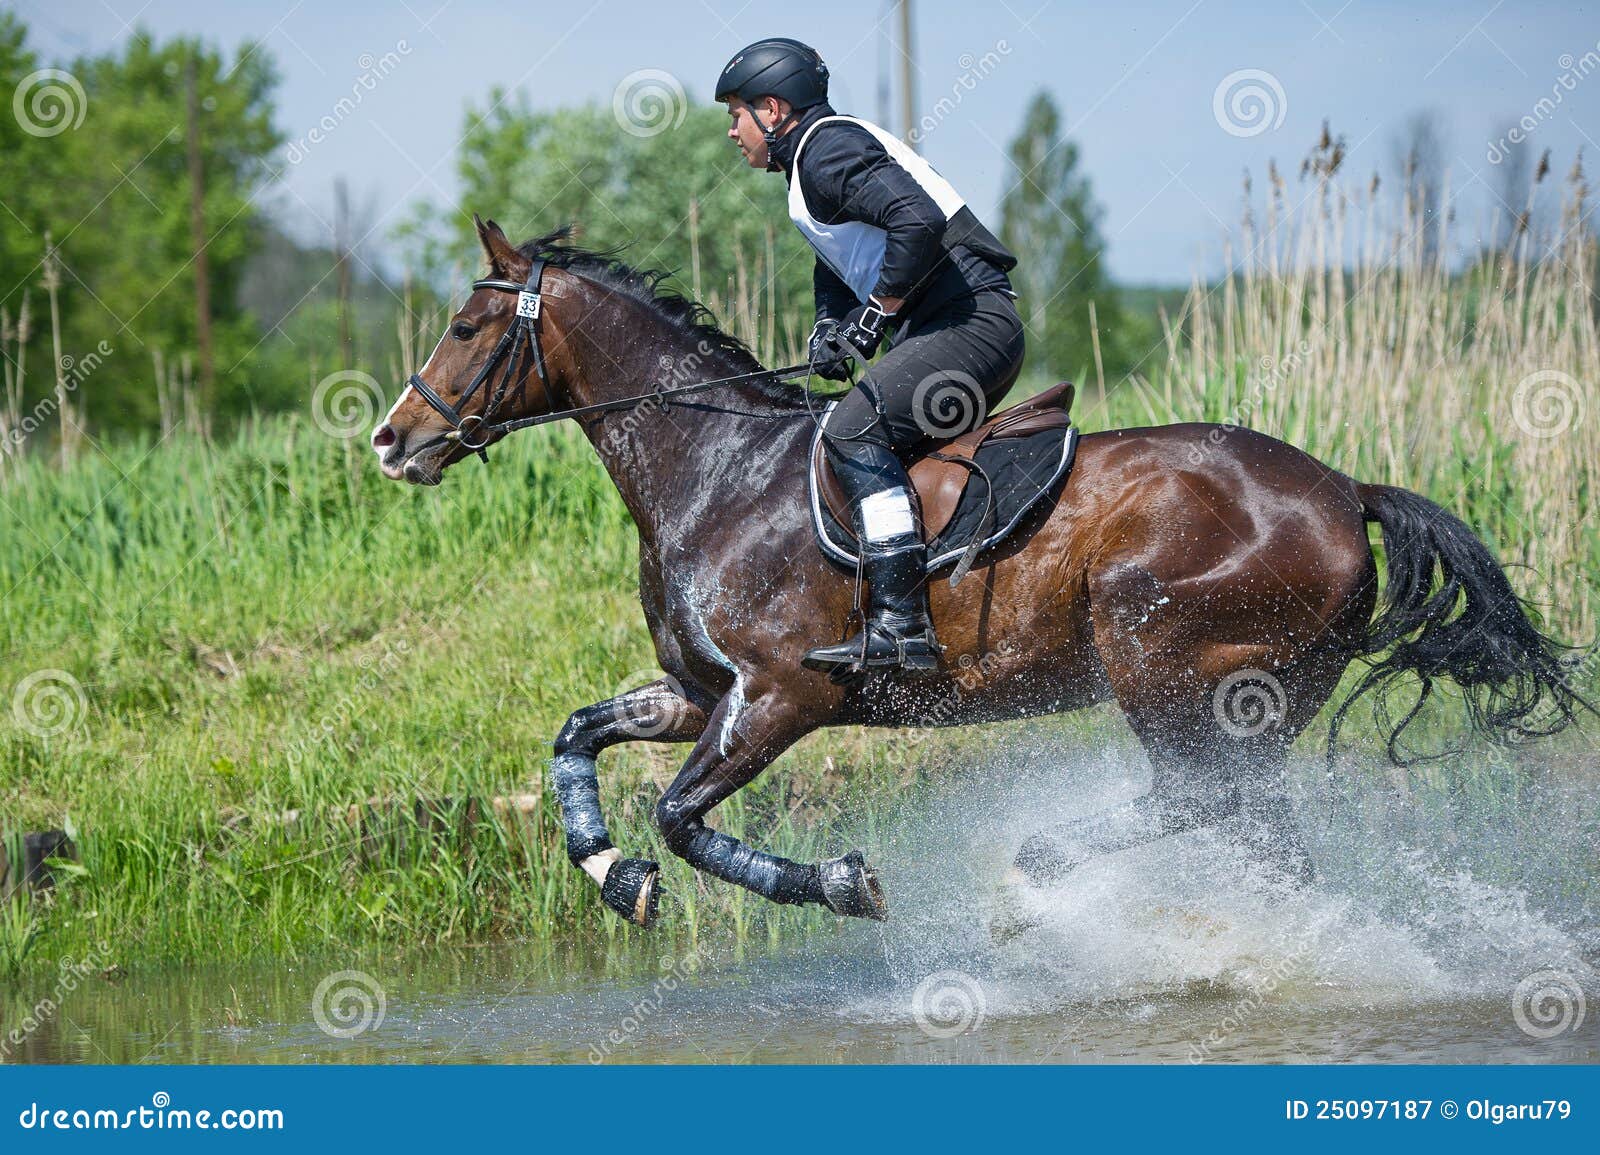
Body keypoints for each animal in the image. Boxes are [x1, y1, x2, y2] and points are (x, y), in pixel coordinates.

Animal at [371, 217, 1590, 928]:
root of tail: (1342, 490)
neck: (716, 470)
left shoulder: (778, 696)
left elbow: (678, 814)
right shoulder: (698, 692)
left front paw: (842, 885)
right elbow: (577, 737)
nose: (390, 441)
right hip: (1261, 696)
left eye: (468, 324)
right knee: (1253, 828)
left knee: (1198, 800)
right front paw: (615, 878)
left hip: (1164, 658)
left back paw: (1039, 867)